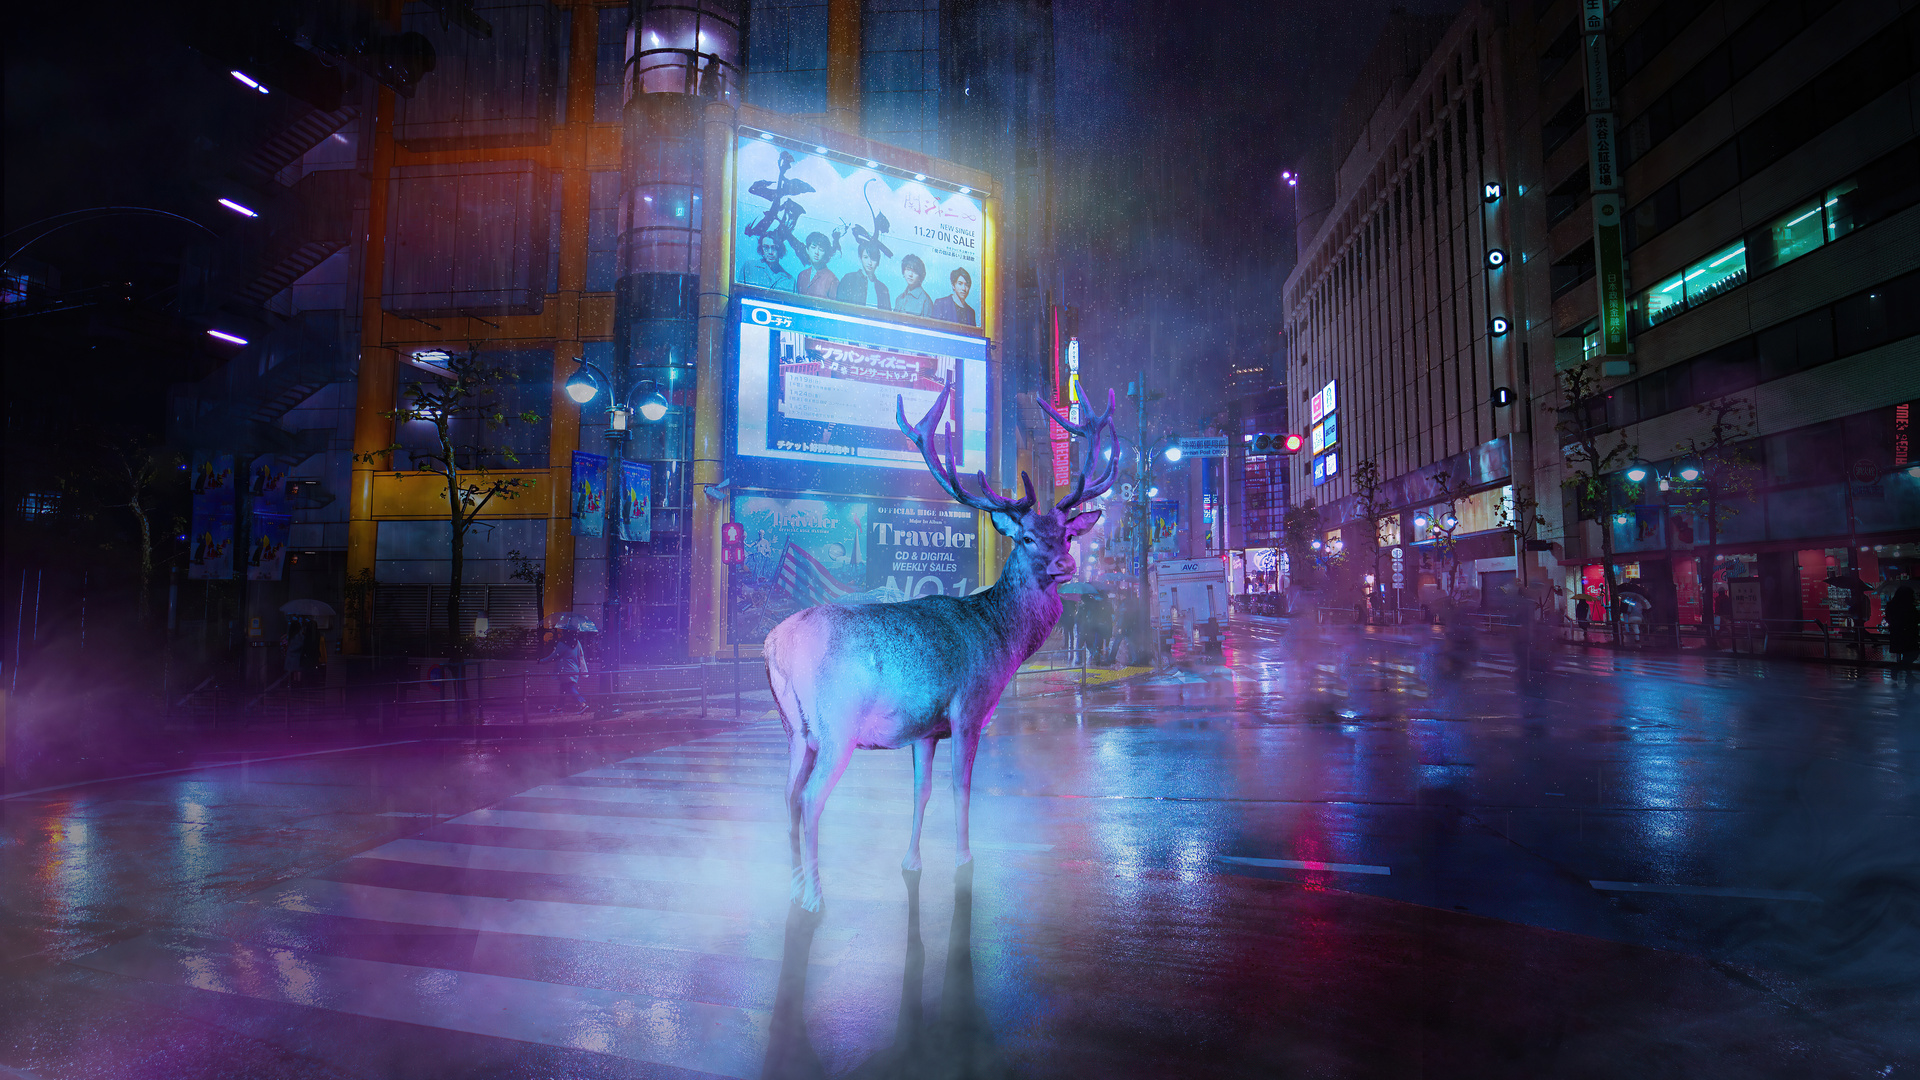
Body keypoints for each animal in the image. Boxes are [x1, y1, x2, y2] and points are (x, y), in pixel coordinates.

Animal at [764, 376, 1117, 914]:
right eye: (1027, 538)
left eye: (1067, 535)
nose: (1066, 565)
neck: (1000, 638)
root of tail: (775, 645)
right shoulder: (968, 708)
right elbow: (961, 787)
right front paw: (965, 862)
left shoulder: (925, 729)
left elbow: (922, 790)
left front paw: (911, 862)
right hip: (838, 723)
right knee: (809, 798)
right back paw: (814, 897)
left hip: (794, 729)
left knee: (786, 795)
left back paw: (792, 885)